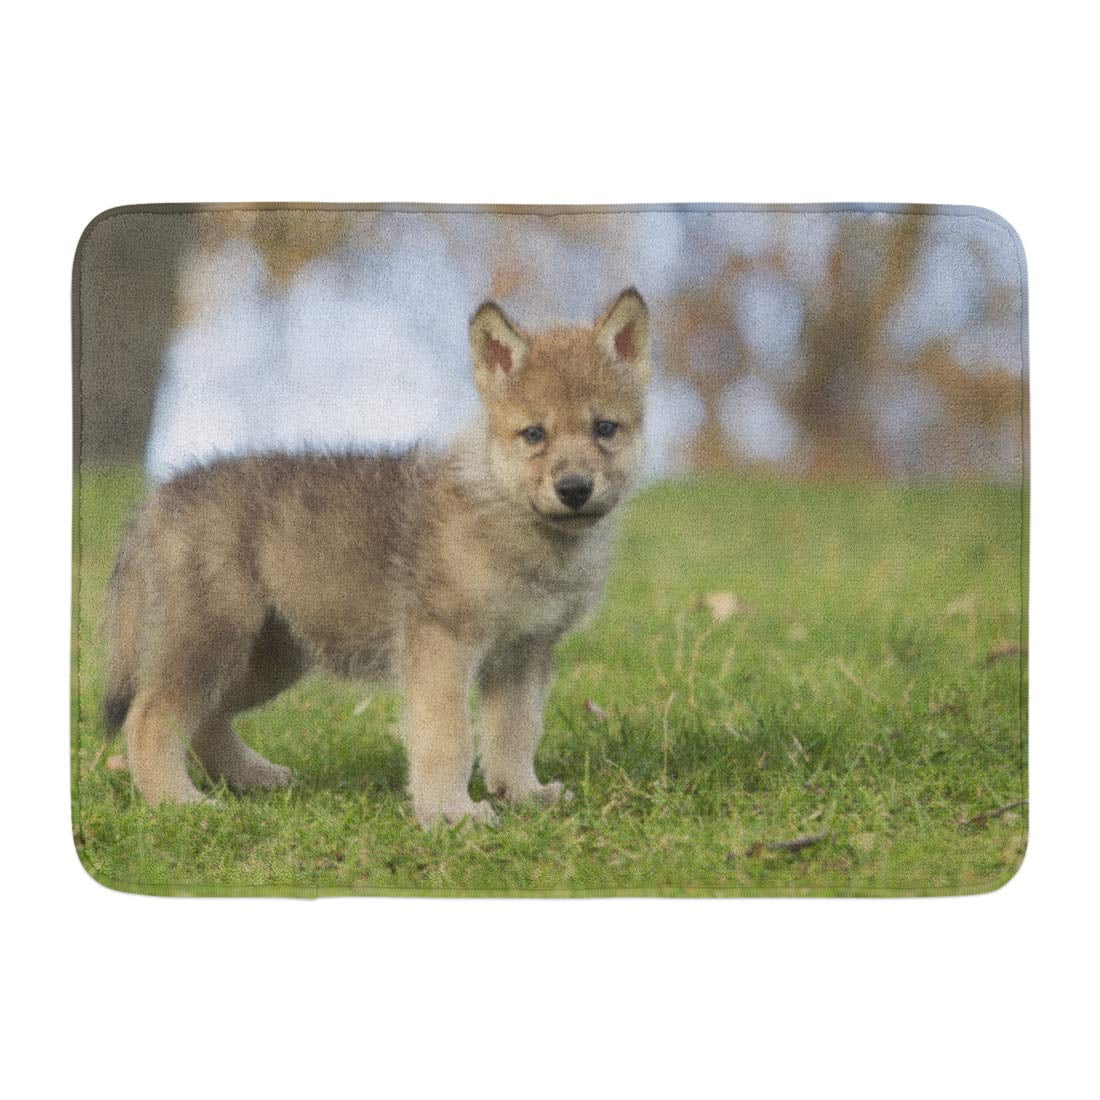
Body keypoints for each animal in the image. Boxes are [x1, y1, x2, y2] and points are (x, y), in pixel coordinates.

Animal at [103, 288, 650, 827]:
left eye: (604, 428)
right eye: (535, 434)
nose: (574, 489)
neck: (508, 513)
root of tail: (162, 495)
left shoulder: (523, 651)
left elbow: (515, 735)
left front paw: (522, 795)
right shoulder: (442, 643)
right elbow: (448, 737)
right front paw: (451, 813)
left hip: (272, 654)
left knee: (205, 719)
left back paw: (252, 778)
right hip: (215, 637)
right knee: (150, 715)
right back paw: (178, 802)